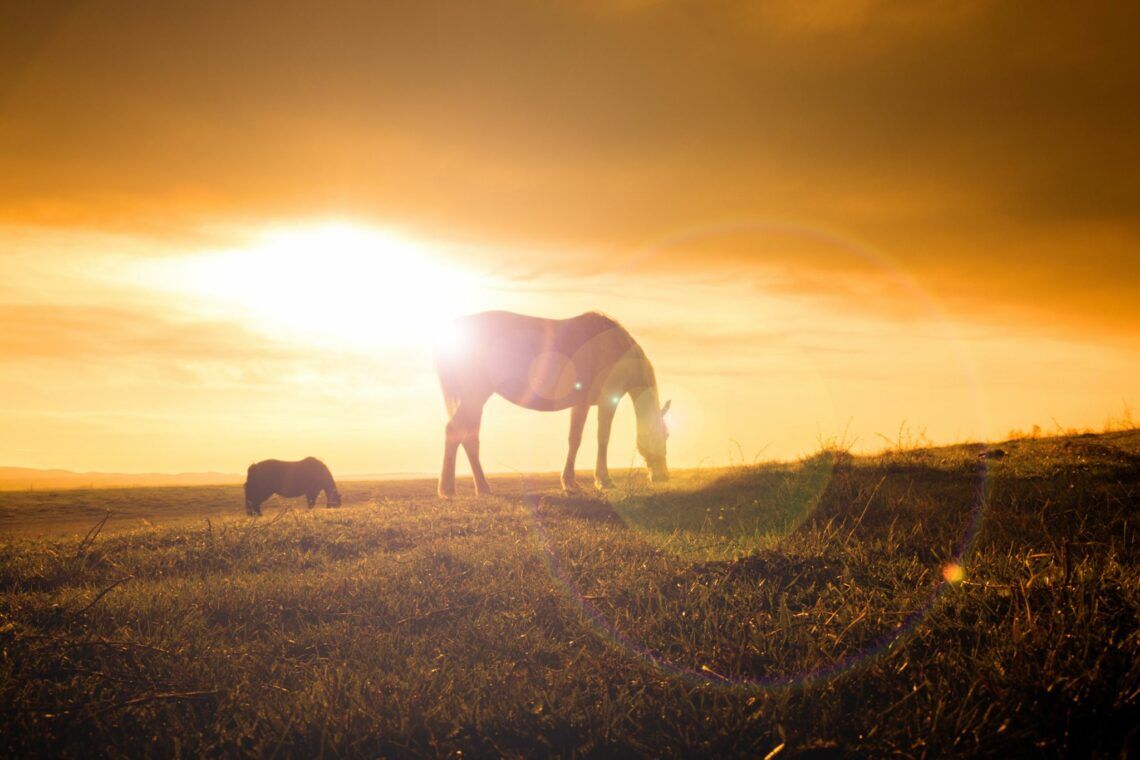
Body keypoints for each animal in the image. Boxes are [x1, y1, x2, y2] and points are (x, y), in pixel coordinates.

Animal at [434, 311, 670, 497]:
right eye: (664, 435)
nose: (663, 476)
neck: (615, 346)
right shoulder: (607, 399)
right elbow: (603, 437)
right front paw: (604, 480)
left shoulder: (581, 403)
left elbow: (574, 439)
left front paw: (570, 483)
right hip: (476, 395)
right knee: (455, 431)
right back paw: (450, 489)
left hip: (476, 398)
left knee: (469, 437)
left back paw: (480, 487)